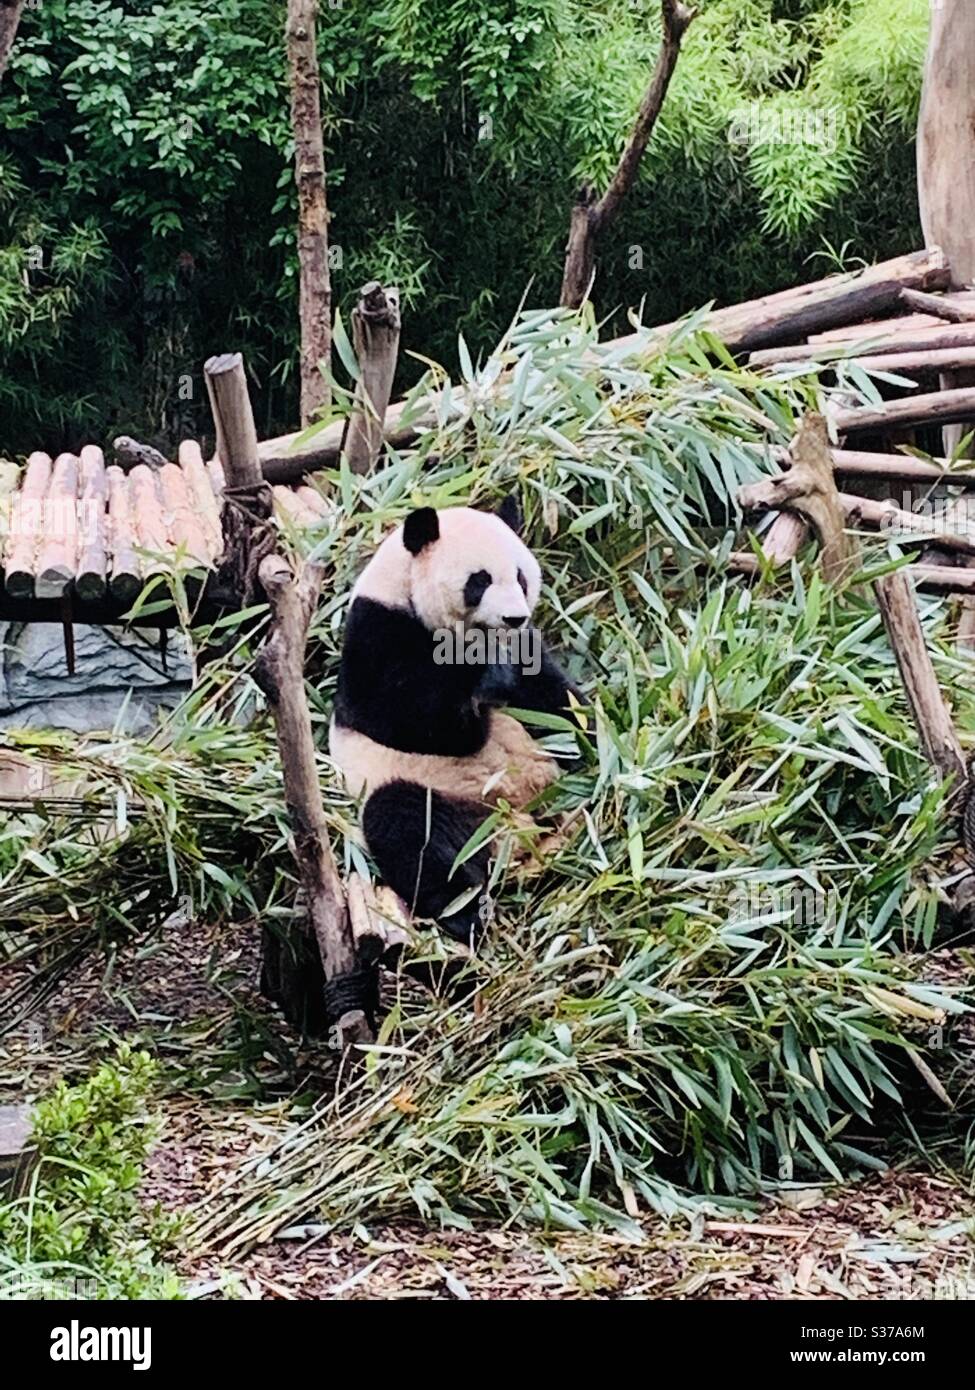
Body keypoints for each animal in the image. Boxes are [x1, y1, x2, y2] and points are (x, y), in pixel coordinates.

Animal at [330, 496, 581, 945]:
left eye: (521, 577)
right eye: (479, 581)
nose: (514, 618)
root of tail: (519, 826)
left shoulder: (528, 651)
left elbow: (558, 703)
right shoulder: (377, 636)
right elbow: (422, 724)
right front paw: (486, 675)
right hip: (435, 794)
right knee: (410, 831)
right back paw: (468, 914)